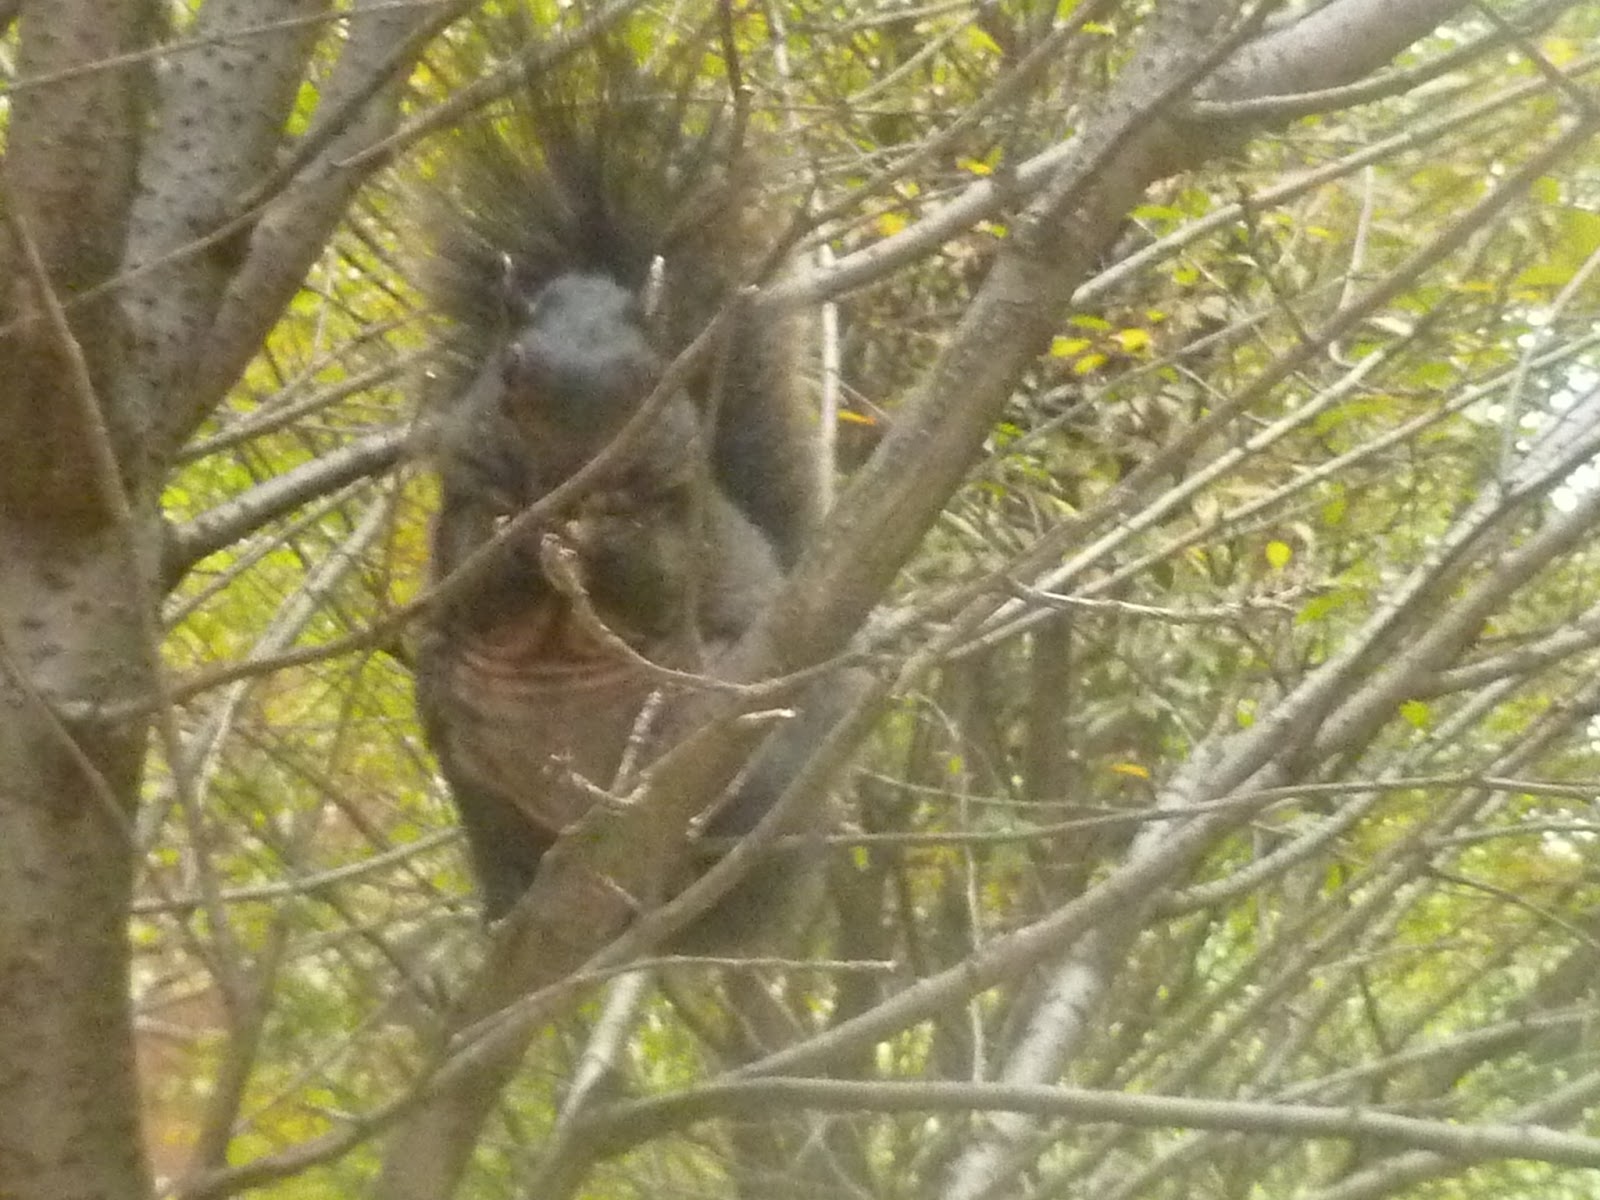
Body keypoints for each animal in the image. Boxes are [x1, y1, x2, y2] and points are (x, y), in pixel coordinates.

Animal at [412, 35, 824, 930]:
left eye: (653, 372)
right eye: (510, 365)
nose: (578, 452)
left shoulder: (683, 512)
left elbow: (653, 578)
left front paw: (601, 542)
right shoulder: (462, 501)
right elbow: (478, 585)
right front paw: (523, 540)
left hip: (757, 750)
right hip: (472, 774)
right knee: (505, 846)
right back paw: (517, 897)